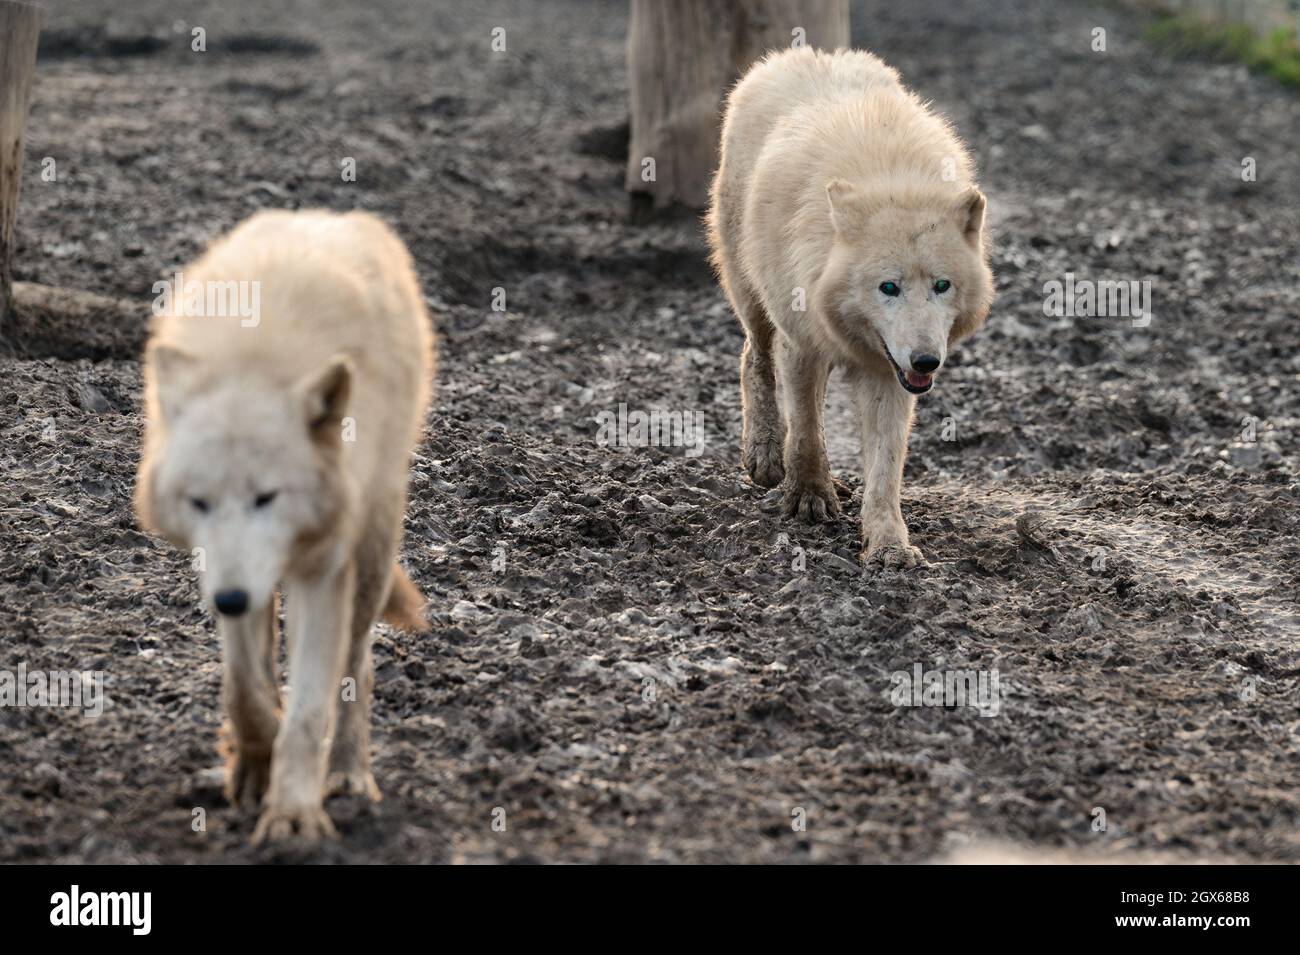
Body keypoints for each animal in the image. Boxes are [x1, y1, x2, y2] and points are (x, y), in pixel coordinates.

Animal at [135, 209, 435, 842]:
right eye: (199, 502)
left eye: (267, 497)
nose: (229, 599)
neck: (254, 361)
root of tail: (336, 216)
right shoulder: (222, 567)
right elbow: (244, 688)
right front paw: (255, 761)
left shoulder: (322, 571)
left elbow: (310, 707)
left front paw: (294, 815)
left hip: (369, 558)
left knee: (357, 666)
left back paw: (347, 772)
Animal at [707, 48, 994, 566]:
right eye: (888, 287)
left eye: (942, 285)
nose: (927, 360)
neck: (891, 178)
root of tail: (797, 53)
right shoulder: (801, 344)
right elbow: (805, 429)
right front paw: (809, 495)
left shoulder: (889, 372)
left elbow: (885, 466)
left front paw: (888, 543)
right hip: (750, 291)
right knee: (753, 357)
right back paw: (764, 453)